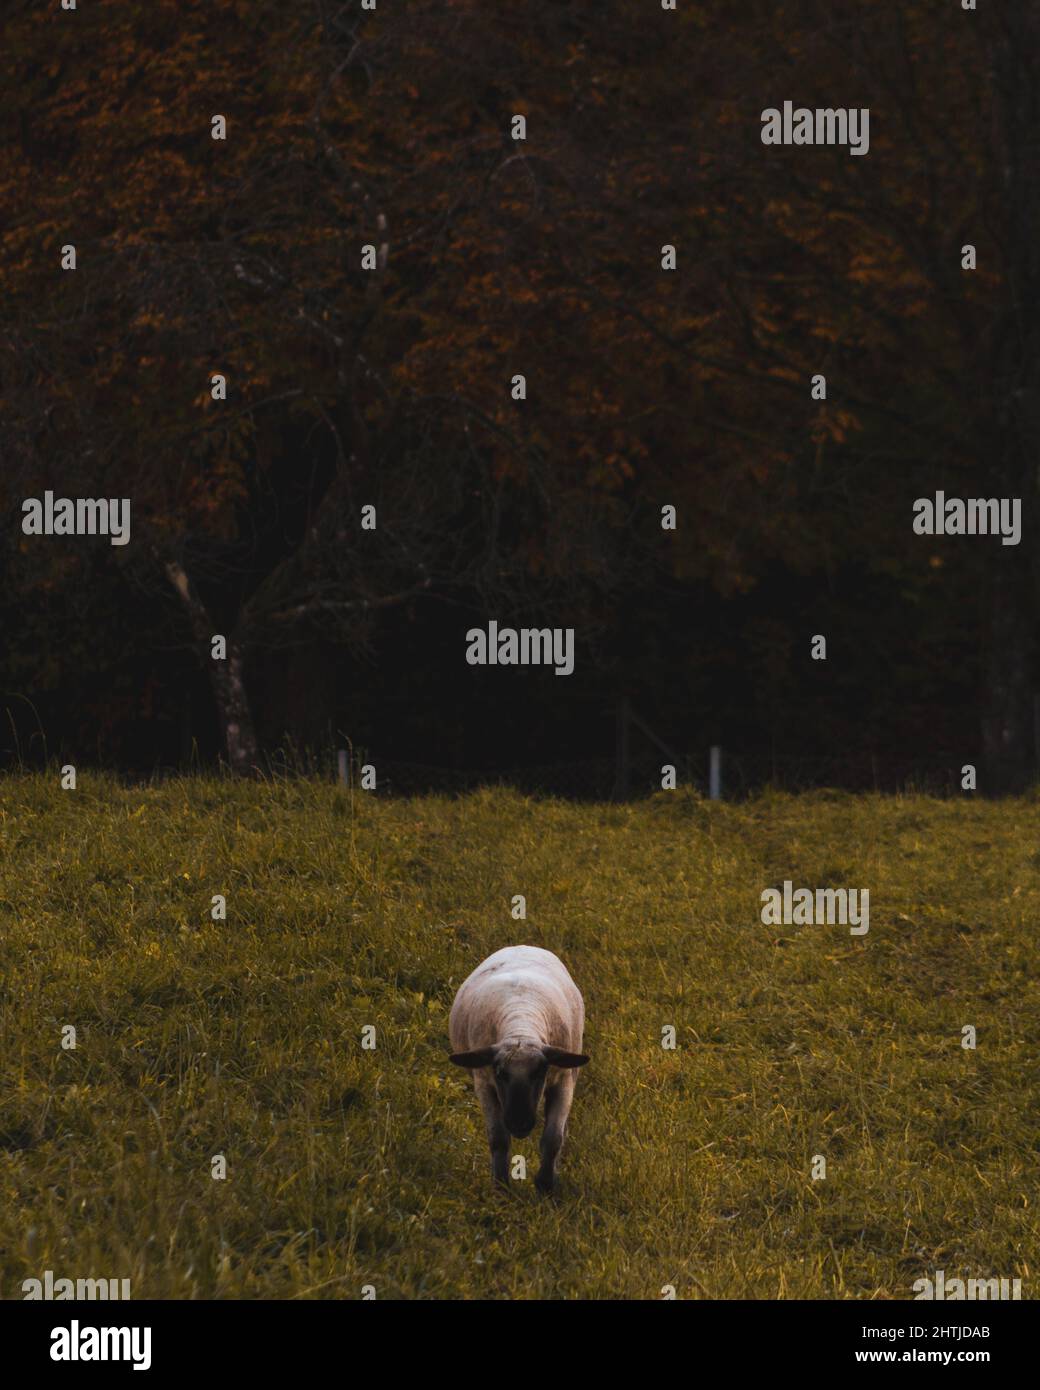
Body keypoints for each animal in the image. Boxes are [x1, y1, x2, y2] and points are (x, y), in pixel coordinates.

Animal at [449, 945, 588, 1192]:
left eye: (539, 1072)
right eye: (500, 1074)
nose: (519, 1123)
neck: (520, 1022)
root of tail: (522, 946)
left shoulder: (563, 1081)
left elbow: (553, 1138)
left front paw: (545, 1185)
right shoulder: (484, 1084)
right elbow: (498, 1139)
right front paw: (501, 1186)